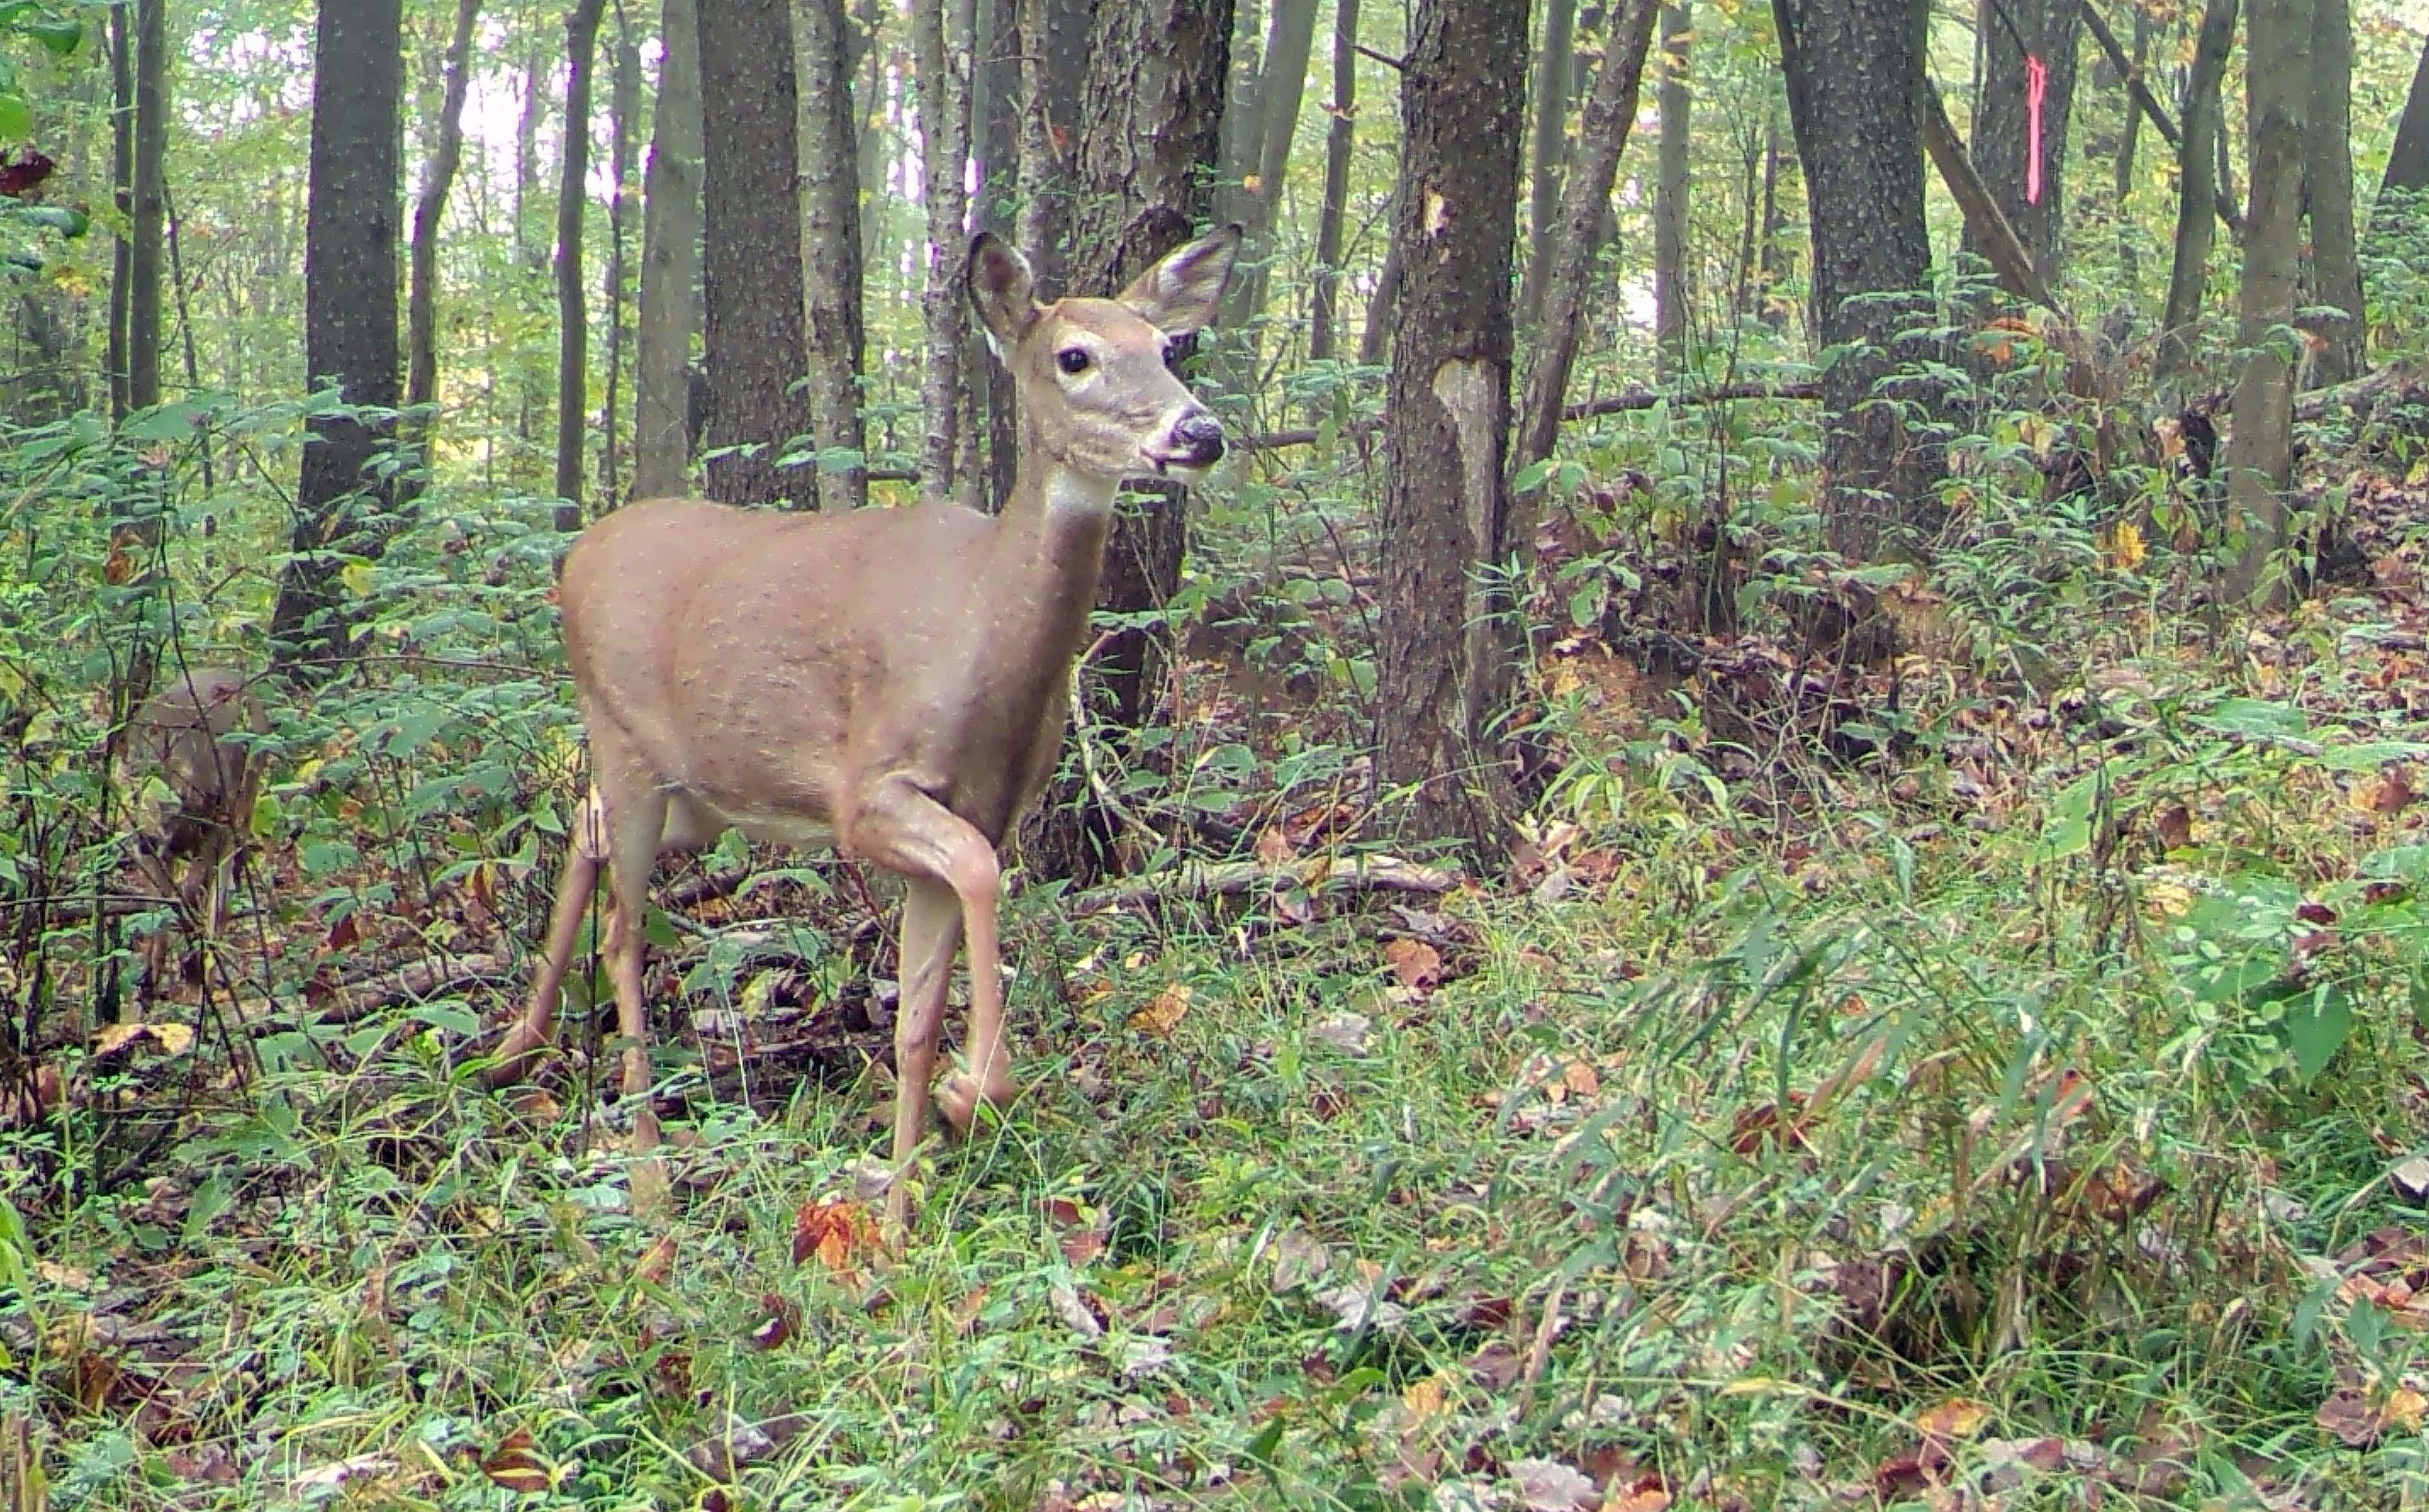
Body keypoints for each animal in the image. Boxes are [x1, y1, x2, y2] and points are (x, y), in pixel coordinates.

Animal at [124, 665, 268, 1004]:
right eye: (133, 793)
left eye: (173, 796)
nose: (145, 841)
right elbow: (162, 904)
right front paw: (149, 978)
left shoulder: (215, 828)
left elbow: (190, 895)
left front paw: (191, 968)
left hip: (239, 812)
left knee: (221, 896)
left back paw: (207, 969)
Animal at [489, 223, 1242, 1232]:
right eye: (1075, 357)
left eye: (1166, 348)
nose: (1198, 433)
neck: (983, 639)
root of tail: (575, 556)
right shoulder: (867, 792)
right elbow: (977, 876)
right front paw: (974, 1096)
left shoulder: (985, 808)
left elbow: (918, 1012)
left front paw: (897, 1213)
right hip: (622, 738)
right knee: (625, 932)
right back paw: (646, 1172)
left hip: (702, 791)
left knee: (584, 825)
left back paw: (517, 1049)